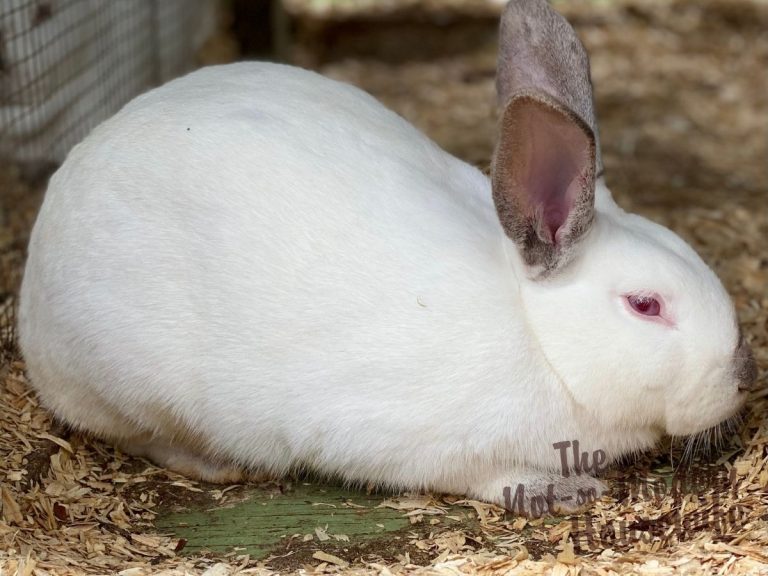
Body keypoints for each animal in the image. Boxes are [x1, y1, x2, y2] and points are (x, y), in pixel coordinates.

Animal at [18, 0, 756, 515]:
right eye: (645, 305)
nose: (745, 374)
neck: (543, 341)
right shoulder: (422, 442)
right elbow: (483, 474)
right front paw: (559, 492)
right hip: (129, 382)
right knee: (136, 433)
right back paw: (216, 465)